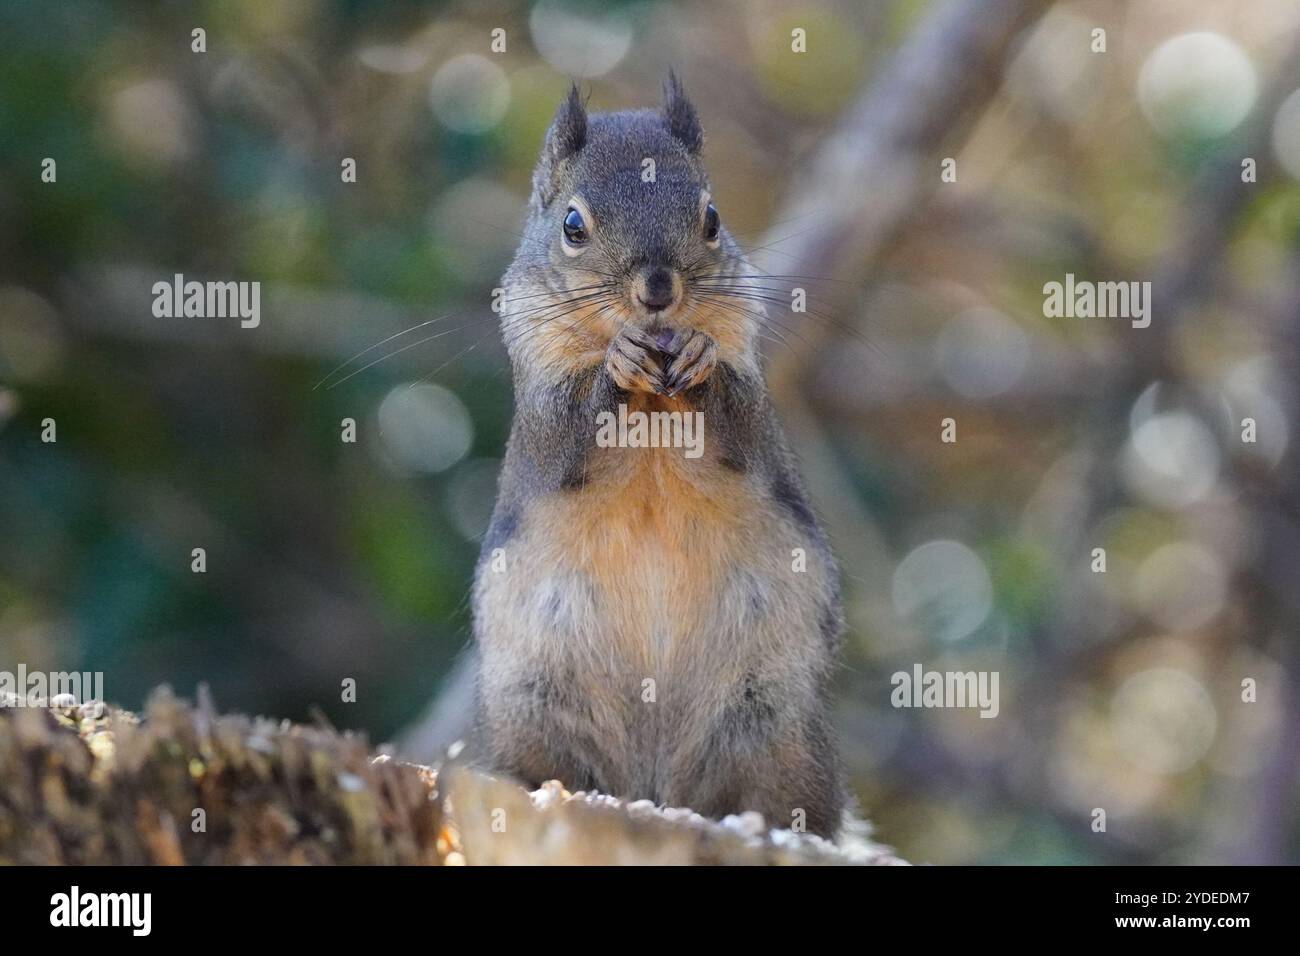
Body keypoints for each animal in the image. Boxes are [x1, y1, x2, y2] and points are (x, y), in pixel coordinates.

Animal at [471, 76, 846, 838]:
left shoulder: (754, 413)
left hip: (773, 720)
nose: (658, 287)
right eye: (572, 226)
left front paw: (699, 359)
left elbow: (743, 425)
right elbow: (563, 433)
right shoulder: (539, 418)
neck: (652, 407)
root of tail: (655, 786)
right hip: (531, 703)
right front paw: (616, 363)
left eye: (712, 218)